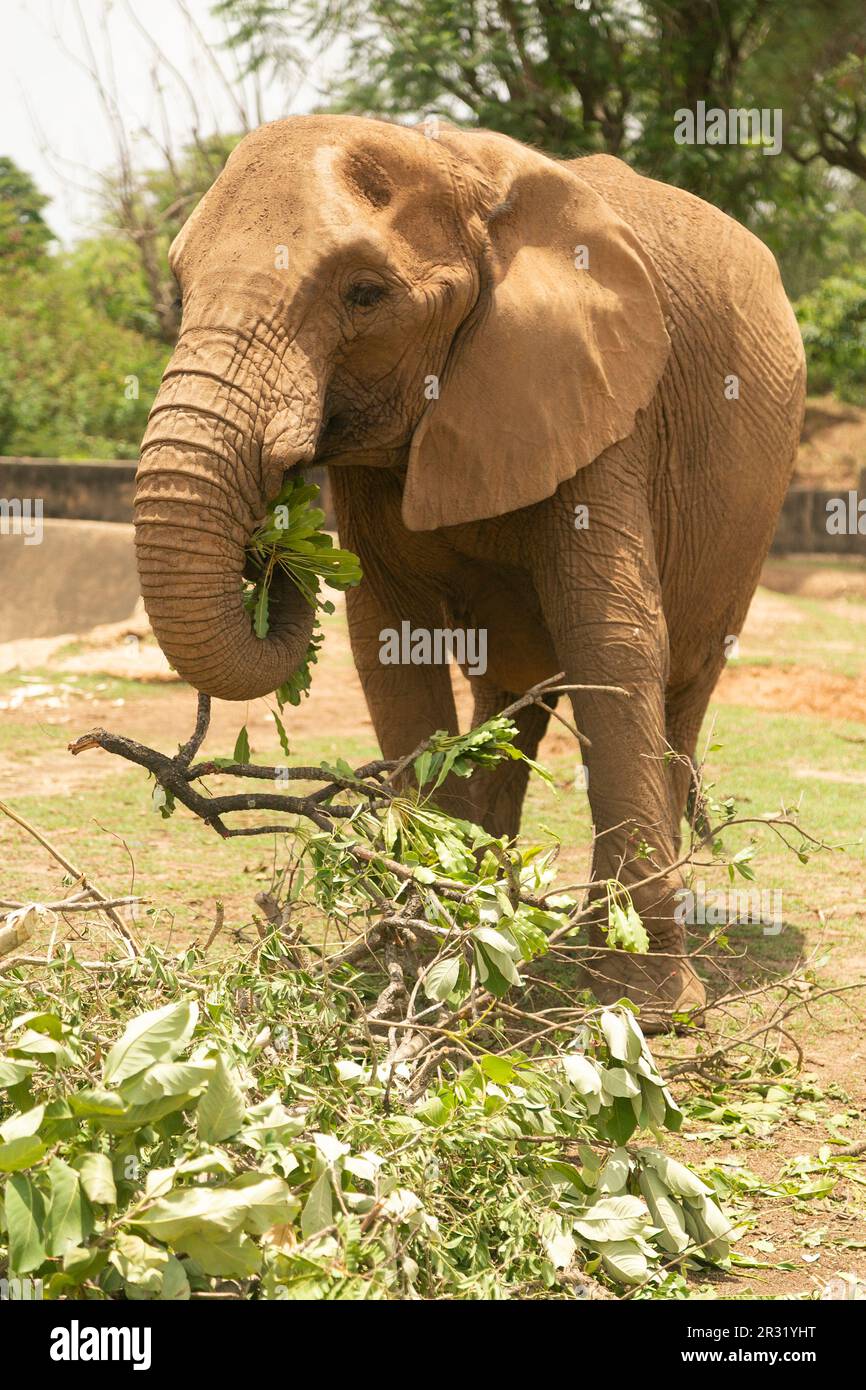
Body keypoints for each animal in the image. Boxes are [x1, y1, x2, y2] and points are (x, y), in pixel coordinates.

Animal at [134, 114, 806, 1027]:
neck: (458, 166)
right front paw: (428, 959)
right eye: (179, 286)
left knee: (681, 691)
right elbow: (389, 648)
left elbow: (612, 639)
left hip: (748, 525)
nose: (270, 535)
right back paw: (497, 905)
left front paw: (647, 1011)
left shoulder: (599, 402)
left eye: (365, 295)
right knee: (507, 699)